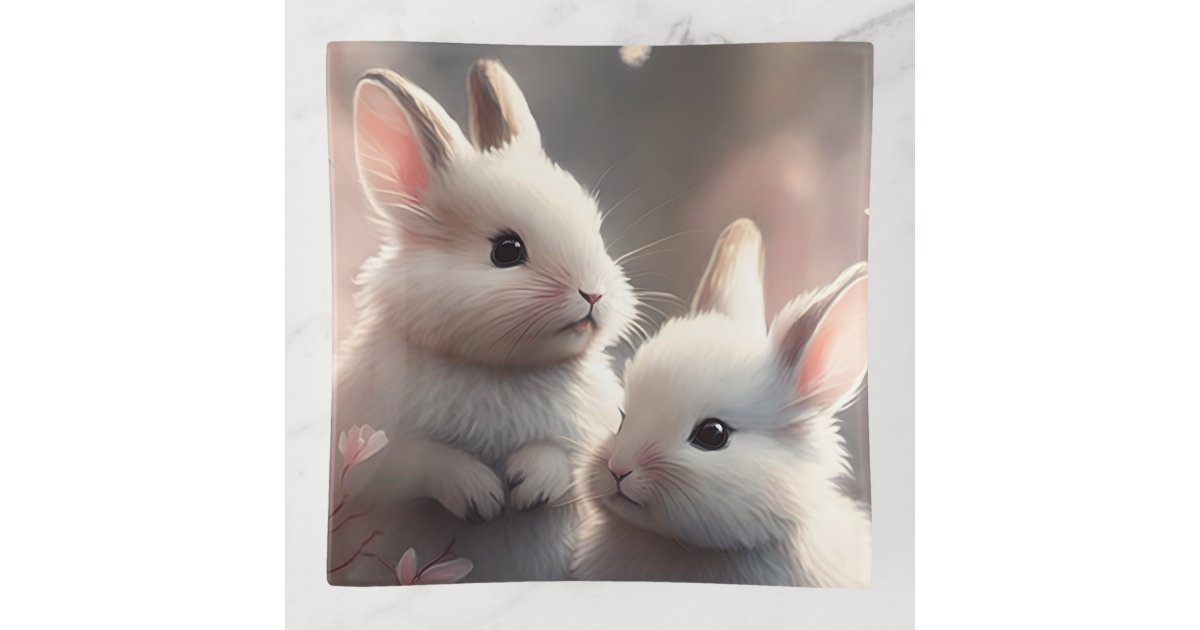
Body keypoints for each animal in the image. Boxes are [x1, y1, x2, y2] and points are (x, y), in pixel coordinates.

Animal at [328, 59, 637, 584]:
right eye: (506, 251)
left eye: (595, 234)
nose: (593, 293)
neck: (504, 370)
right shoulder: (368, 443)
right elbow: (416, 459)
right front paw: (481, 495)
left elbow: (573, 457)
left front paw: (529, 482)